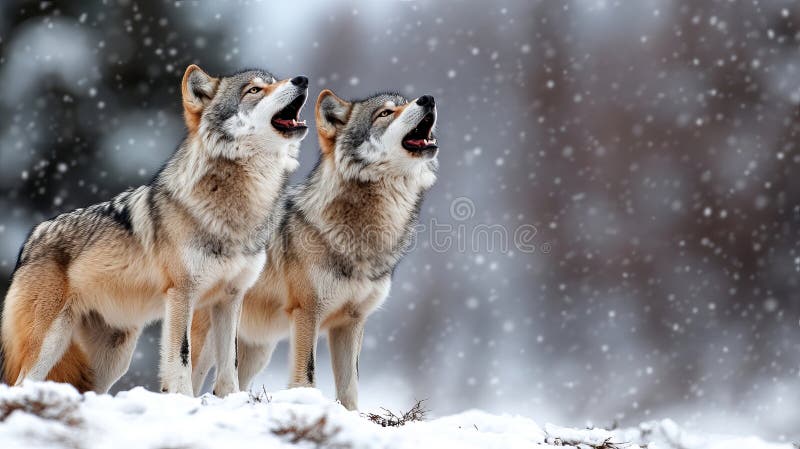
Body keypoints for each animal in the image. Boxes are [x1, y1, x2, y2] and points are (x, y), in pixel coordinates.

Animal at [0, 64, 309, 396]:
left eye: (274, 81)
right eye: (254, 90)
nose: (302, 79)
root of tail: (29, 242)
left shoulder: (231, 298)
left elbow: (230, 365)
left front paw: (230, 399)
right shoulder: (181, 294)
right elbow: (181, 358)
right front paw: (184, 400)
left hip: (110, 362)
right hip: (50, 344)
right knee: (20, 384)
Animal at [191, 89, 439, 409]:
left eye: (405, 102)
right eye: (385, 113)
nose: (428, 99)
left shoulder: (352, 322)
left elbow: (350, 388)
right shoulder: (307, 313)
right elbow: (306, 375)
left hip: (258, 350)